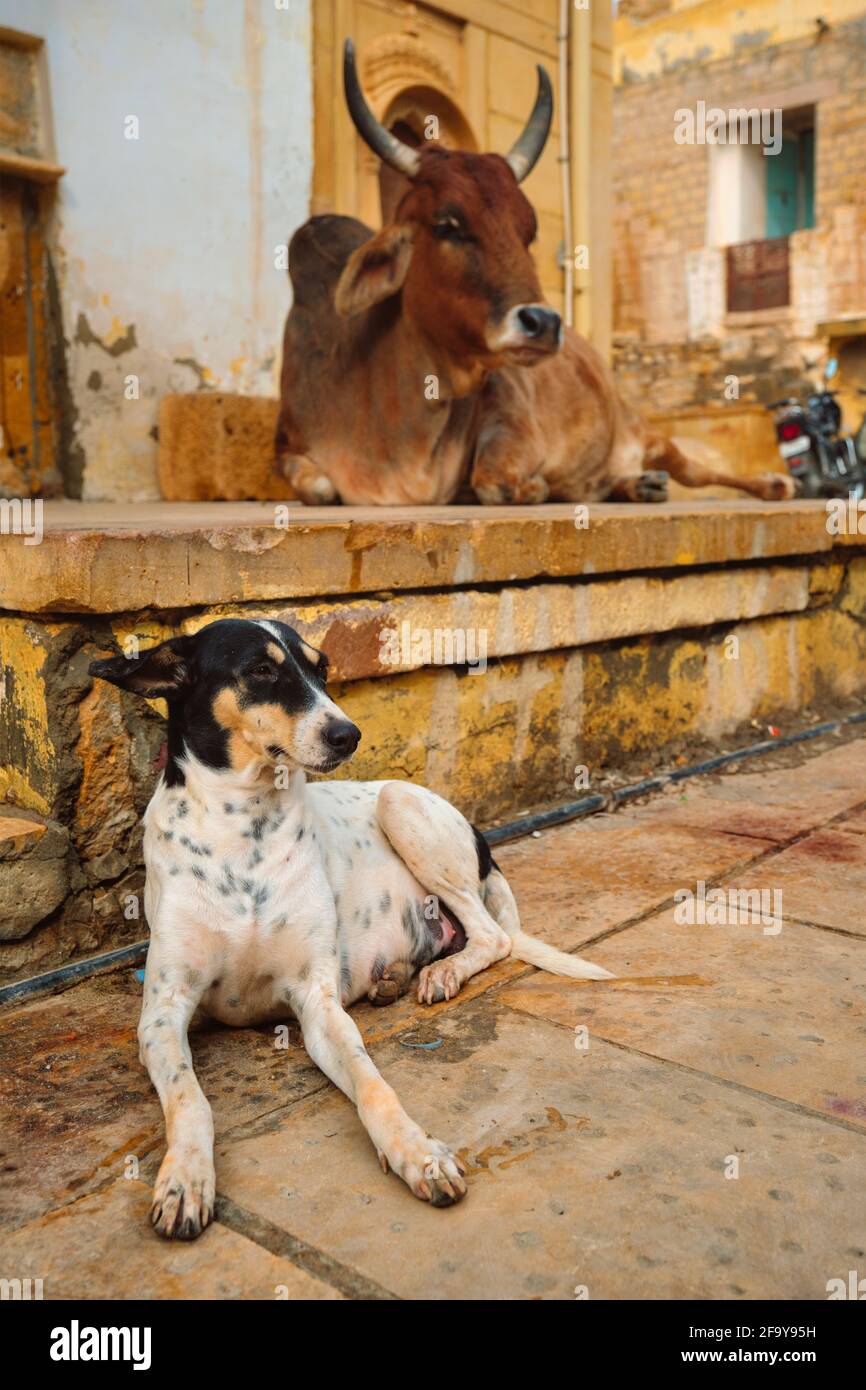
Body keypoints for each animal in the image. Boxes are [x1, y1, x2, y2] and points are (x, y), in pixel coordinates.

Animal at [274, 40, 794, 507]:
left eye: (529, 231)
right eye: (447, 224)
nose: (543, 323)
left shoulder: (512, 417)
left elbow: (492, 482)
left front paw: (530, 487)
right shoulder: (288, 446)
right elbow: (318, 488)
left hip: (645, 430)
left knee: (696, 469)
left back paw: (772, 484)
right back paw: (637, 486)